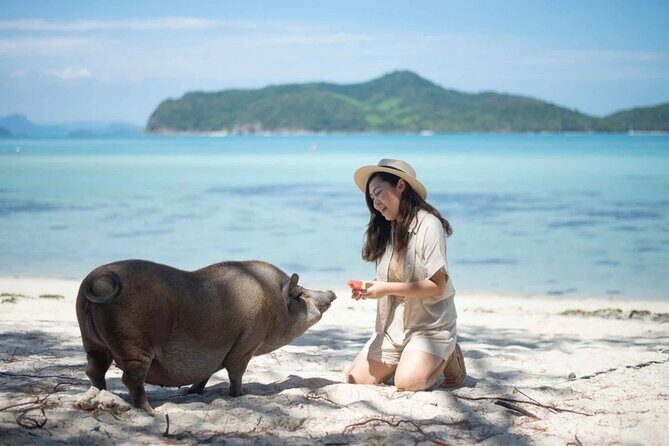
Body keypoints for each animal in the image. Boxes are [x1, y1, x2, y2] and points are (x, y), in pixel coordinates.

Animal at [75, 259, 337, 414]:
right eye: (299, 294)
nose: (332, 292)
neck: (273, 303)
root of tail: (96, 279)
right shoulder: (246, 343)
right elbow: (235, 372)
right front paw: (241, 395)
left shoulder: (216, 353)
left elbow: (206, 373)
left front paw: (192, 392)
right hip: (132, 344)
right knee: (130, 379)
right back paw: (150, 411)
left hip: (92, 341)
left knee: (93, 369)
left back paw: (101, 395)